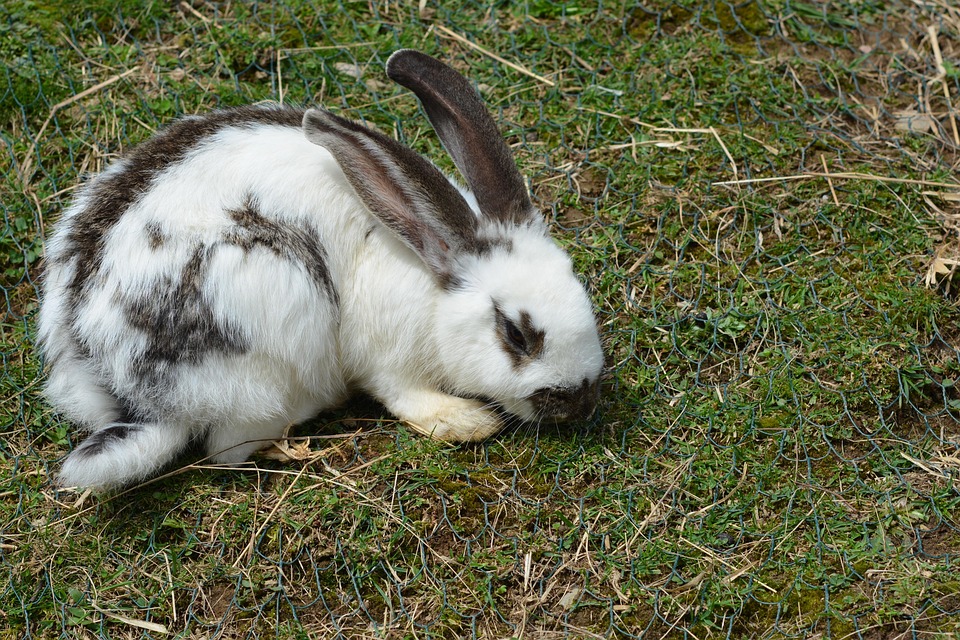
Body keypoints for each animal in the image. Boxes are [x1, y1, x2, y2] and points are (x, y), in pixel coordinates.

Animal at [37, 49, 604, 491]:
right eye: (515, 334)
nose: (581, 400)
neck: (429, 262)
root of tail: (130, 392)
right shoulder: (384, 354)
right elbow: (403, 394)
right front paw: (465, 421)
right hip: (277, 309)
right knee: (227, 446)